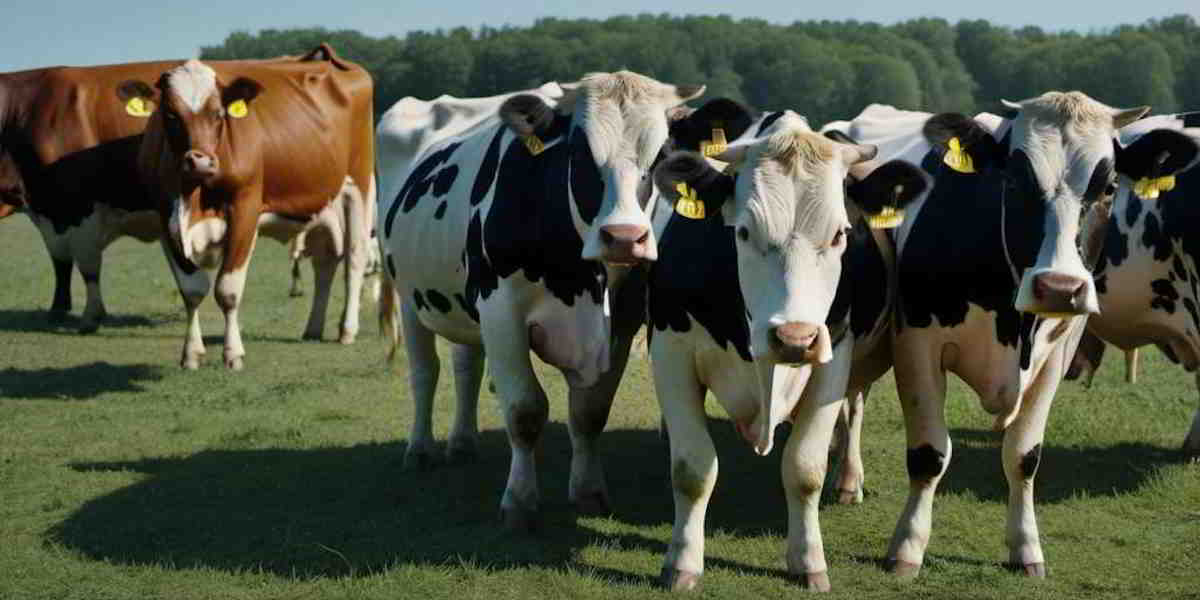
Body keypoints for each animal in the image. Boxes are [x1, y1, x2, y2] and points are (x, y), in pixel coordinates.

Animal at [118, 45, 375, 369]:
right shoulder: (165, 217)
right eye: (170, 114)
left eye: (218, 113)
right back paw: (313, 328)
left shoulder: (245, 209)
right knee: (326, 261)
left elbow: (227, 289)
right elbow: (192, 289)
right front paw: (191, 354)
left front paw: (233, 354)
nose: (199, 161)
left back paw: (347, 329)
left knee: (354, 258)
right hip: (321, 199)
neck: (195, 198)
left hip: (359, 186)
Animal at [377, 71, 706, 530]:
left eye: (660, 154)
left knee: (465, 366)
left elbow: (590, 412)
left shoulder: (621, 323)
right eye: (579, 152)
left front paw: (588, 492)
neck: (582, 279)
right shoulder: (501, 312)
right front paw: (519, 503)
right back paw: (421, 449)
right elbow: (525, 410)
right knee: (425, 372)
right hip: (409, 295)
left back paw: (462, 442)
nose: (624, 238)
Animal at [648, 110, 926, 591]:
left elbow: (804, 469)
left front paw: (808, 560)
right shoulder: (669, 350)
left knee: (854, 410)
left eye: (840, 235)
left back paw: (848, 479)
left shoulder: (834, 356)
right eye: (742, 232)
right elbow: (692, 470)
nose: (794, 337)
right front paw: (682, 562)